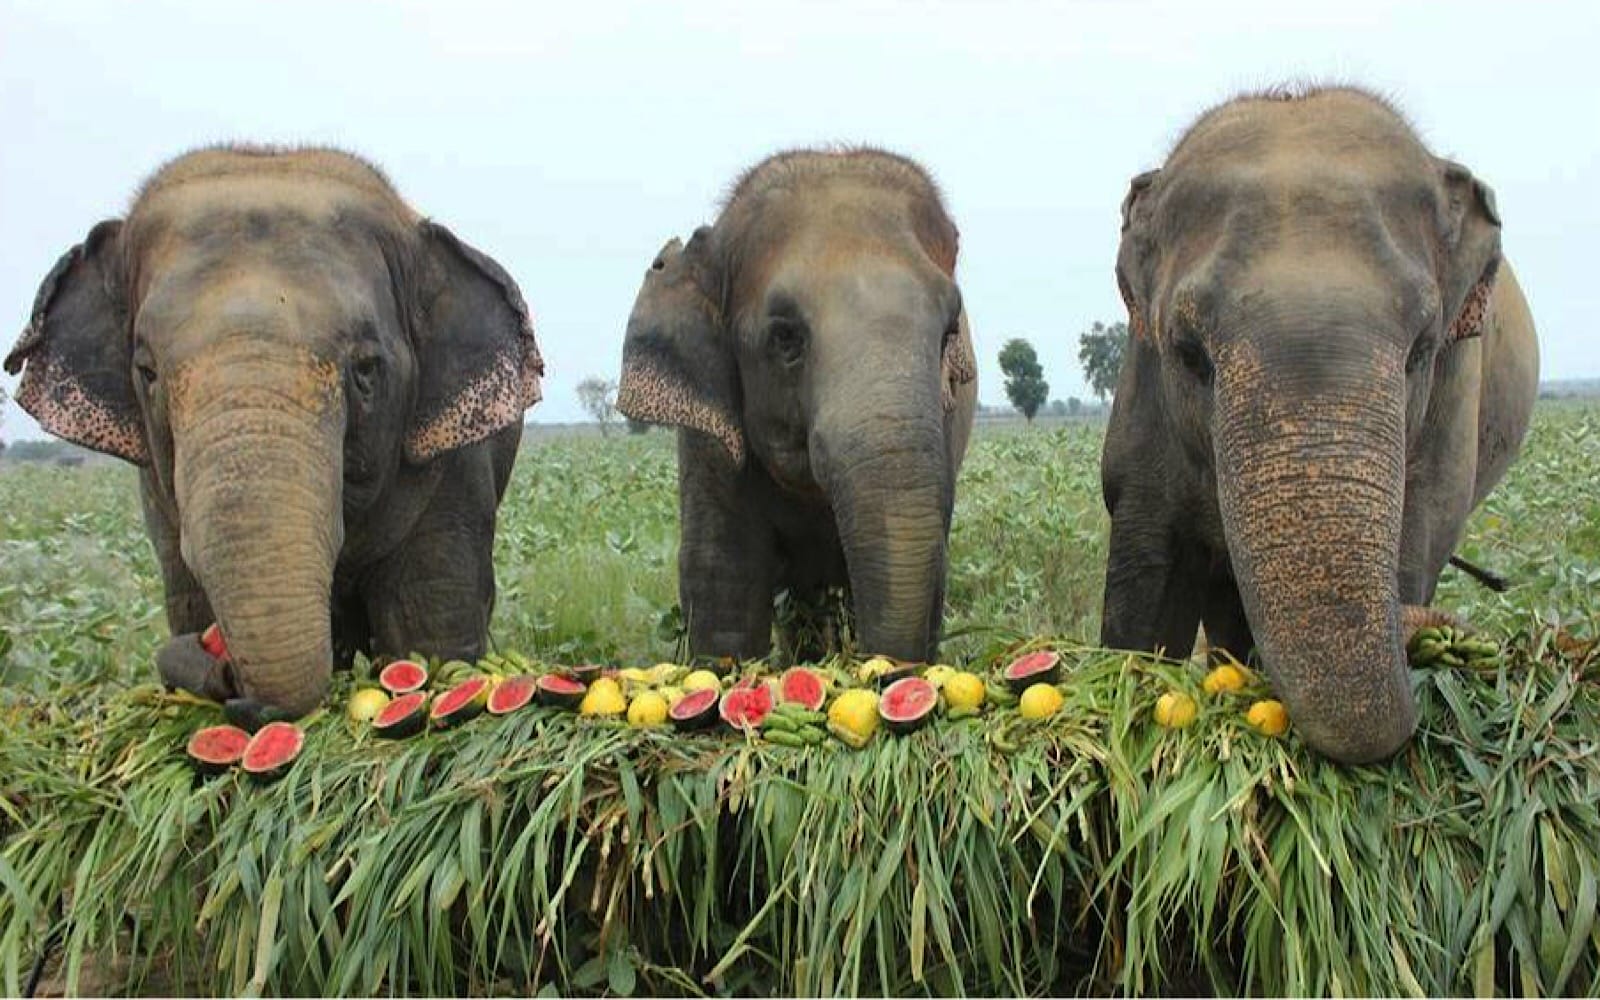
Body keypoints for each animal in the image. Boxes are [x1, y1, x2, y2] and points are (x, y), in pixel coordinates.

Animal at [4, 146, 543, 725]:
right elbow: (189, 595)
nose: (230, 679)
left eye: (366, 368)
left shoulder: (449, 465)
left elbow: (429, 635)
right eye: (145, 370)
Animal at [1101, 86, 1539, 764]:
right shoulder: (1143, 381)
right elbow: (1150, 560)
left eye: (1422, 349)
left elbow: (1423, 519)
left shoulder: (1456, 386)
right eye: (1189, 353)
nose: (1436, 632)